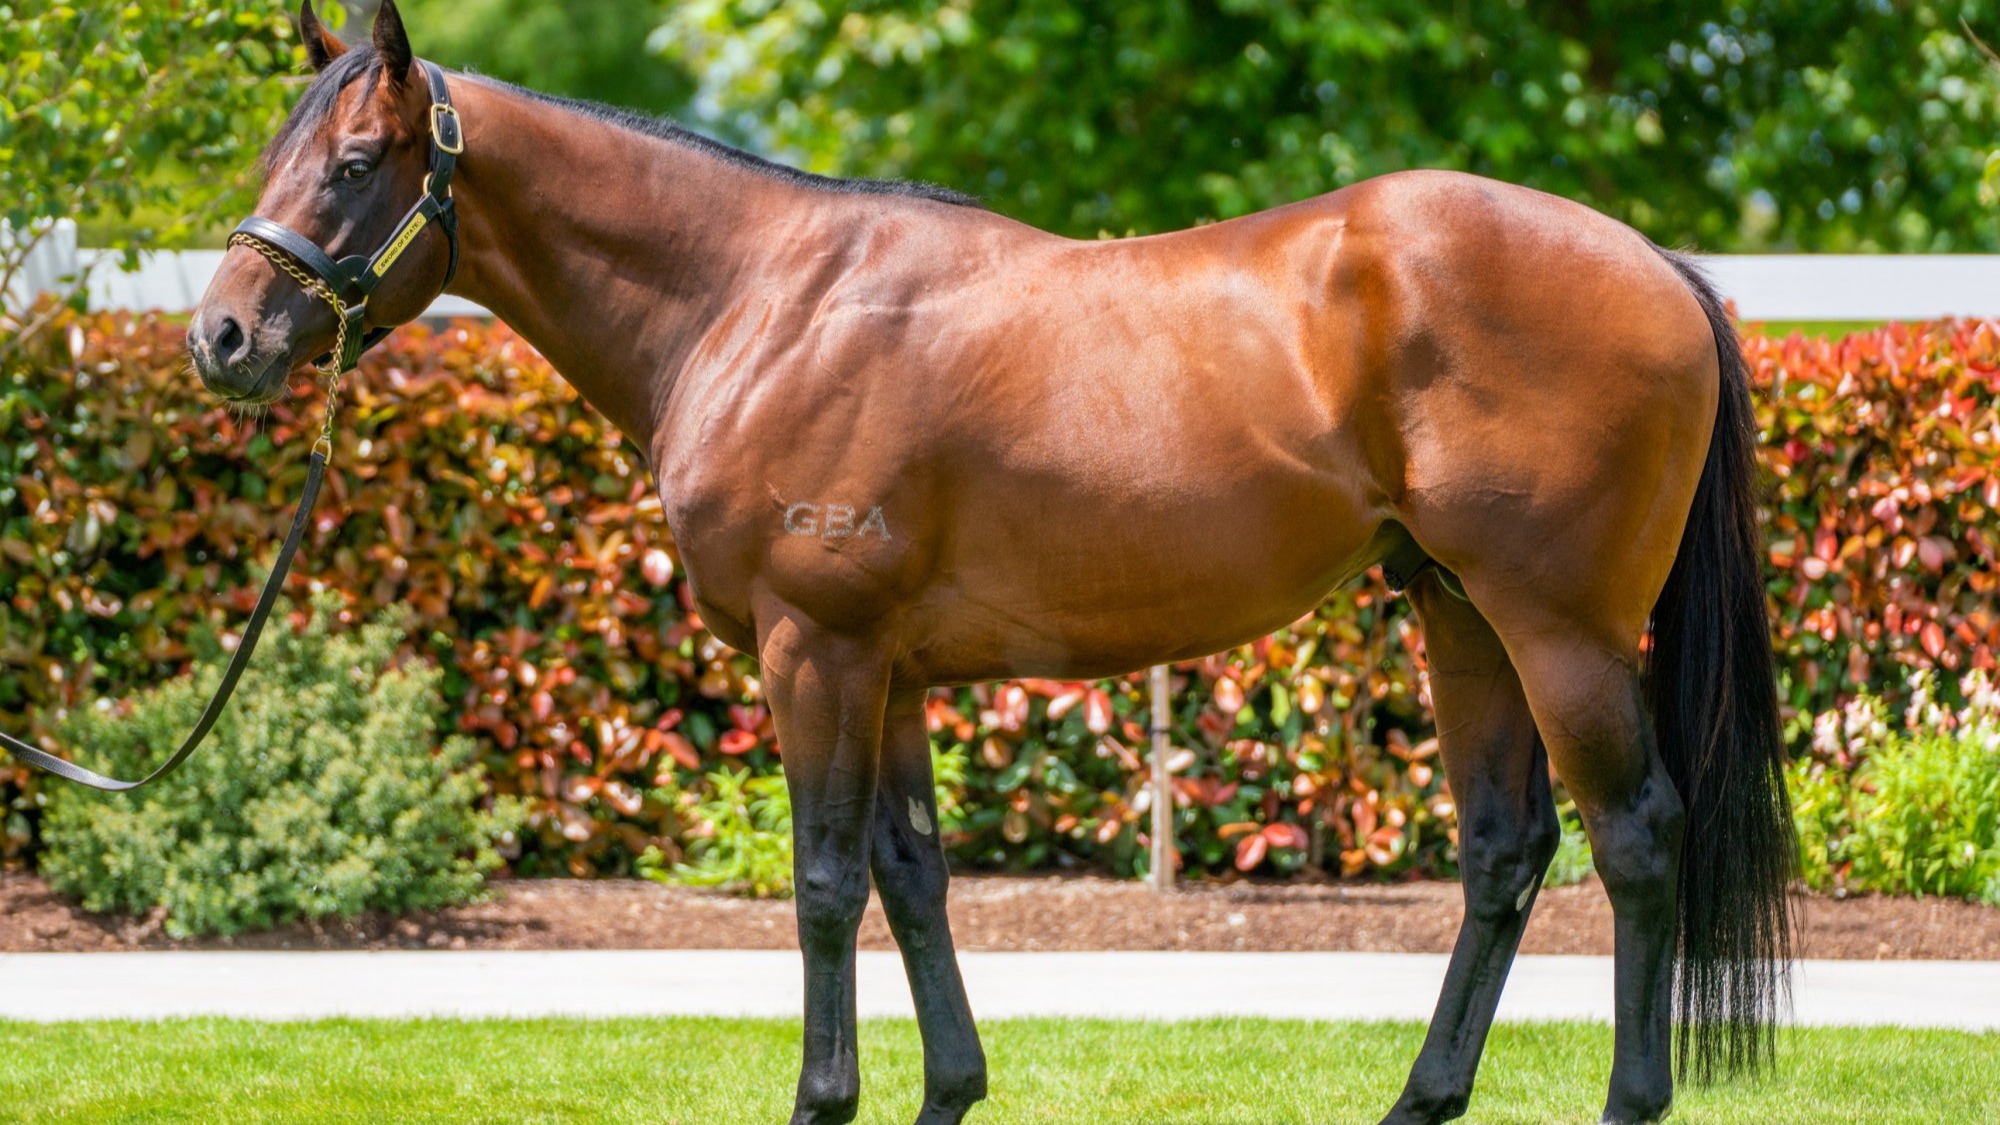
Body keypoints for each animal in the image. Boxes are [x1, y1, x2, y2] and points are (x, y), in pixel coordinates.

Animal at [189, 4, 1795, 1123]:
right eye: (277, 155)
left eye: (353, 163)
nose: (223, 338)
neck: (755, 298)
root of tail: (1661, 270)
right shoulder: (888, 667)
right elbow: (913, 875)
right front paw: (947, 1090)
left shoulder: (816, 649)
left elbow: (823, 882)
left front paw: (822, 1099)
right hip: (1456, 615)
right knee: (1503, 851)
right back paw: (1421, 1096)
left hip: (1560, 628)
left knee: (1634, 840)